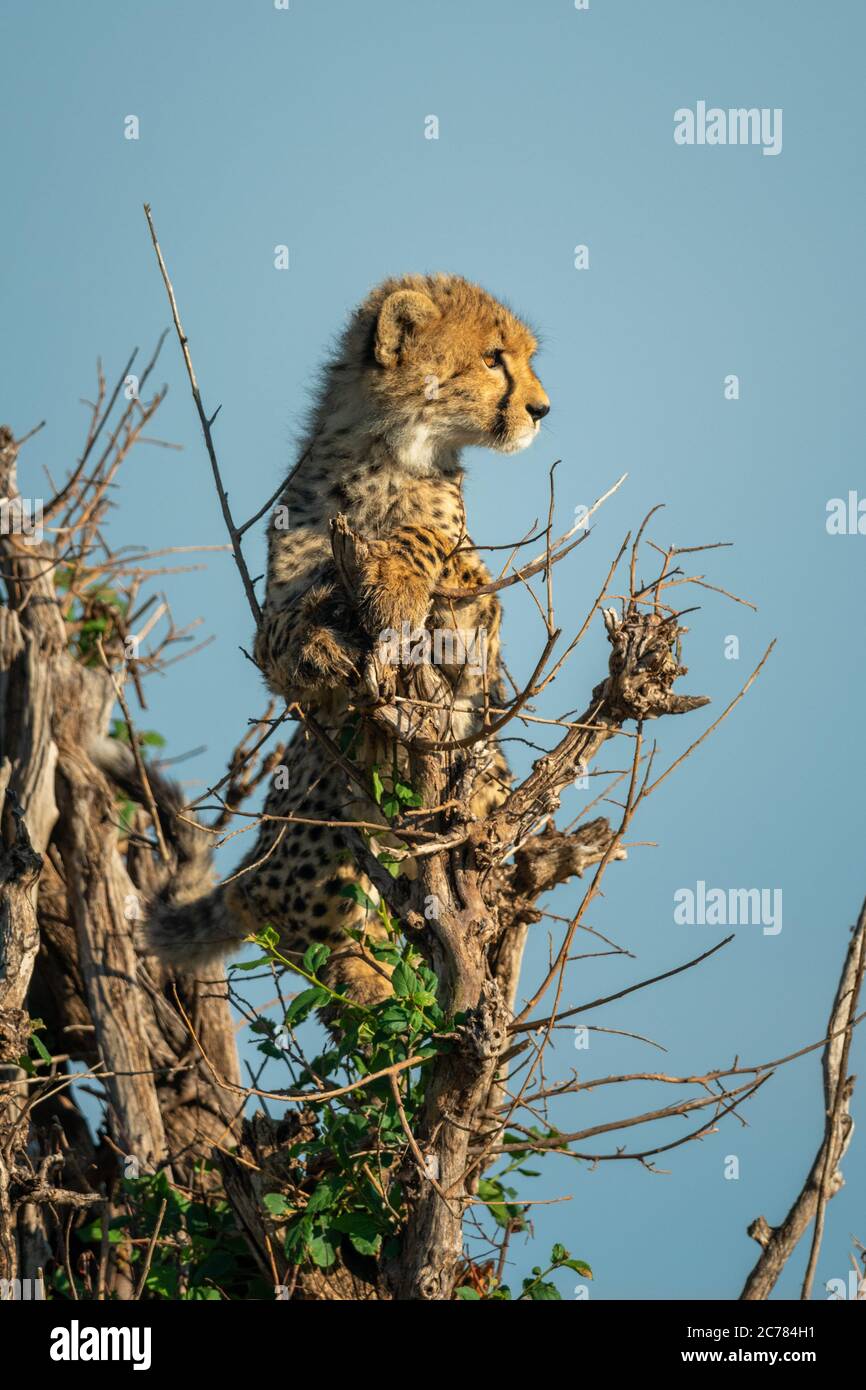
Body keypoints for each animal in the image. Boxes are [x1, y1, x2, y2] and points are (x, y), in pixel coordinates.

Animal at [122, 273, 550, 1008]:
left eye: (519, 358)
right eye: (494, 358)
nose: (542, 409)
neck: (389, 451)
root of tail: (247, 875)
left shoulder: (476, 608)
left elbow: (433, 545)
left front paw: (395, 578)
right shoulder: (275, 614)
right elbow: (284, 630)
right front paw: (325, 639)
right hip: (329, 806)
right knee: (330, 944)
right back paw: (381, 990)